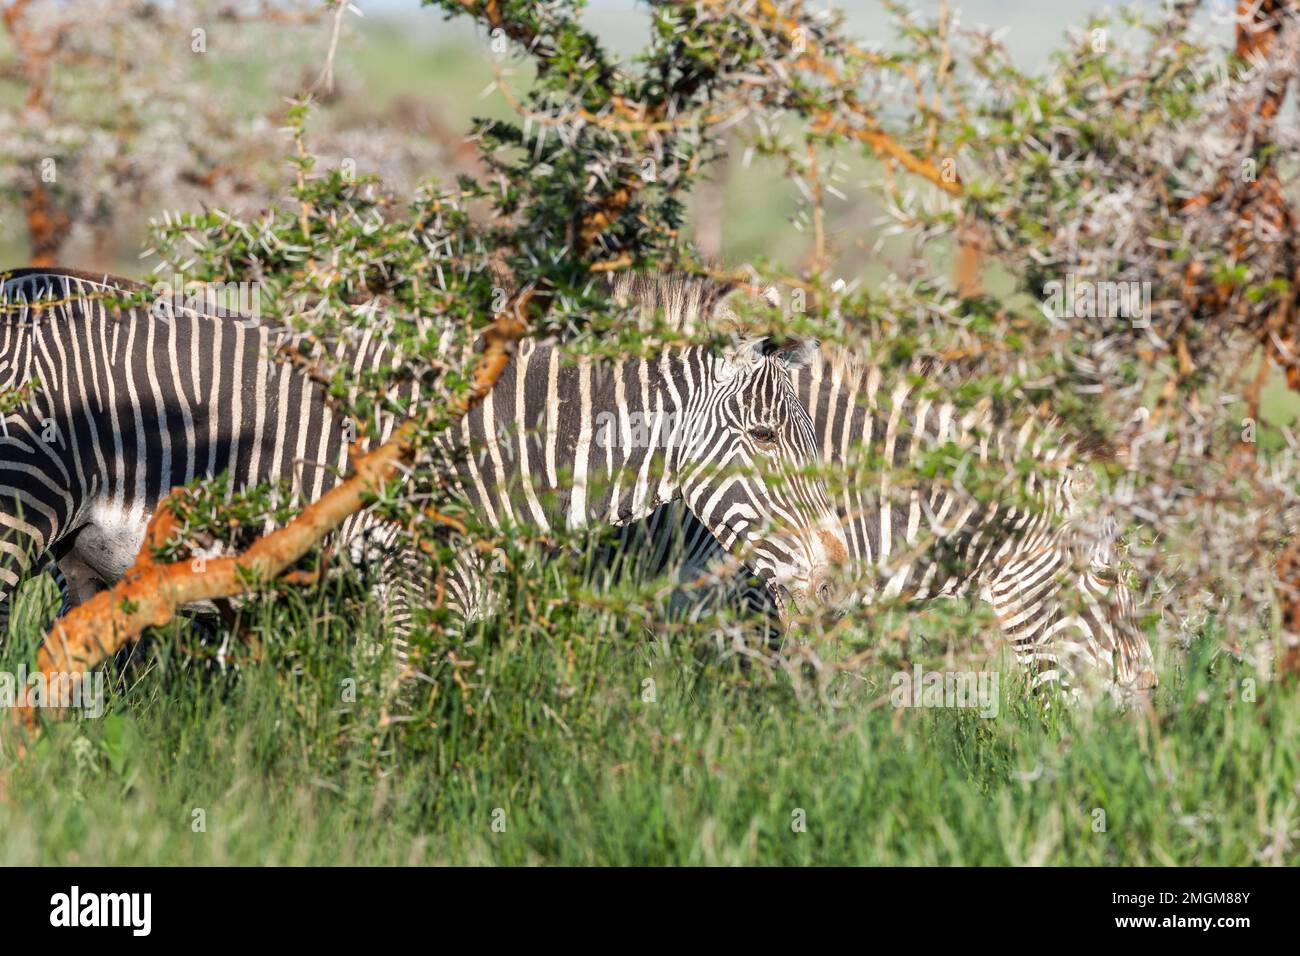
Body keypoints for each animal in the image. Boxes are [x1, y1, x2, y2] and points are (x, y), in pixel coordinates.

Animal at [0, 267, 847, 659]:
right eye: (766, 439)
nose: (835, 574)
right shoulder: (408, 588)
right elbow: (388, 733)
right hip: (18, 511)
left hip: (79, 558)